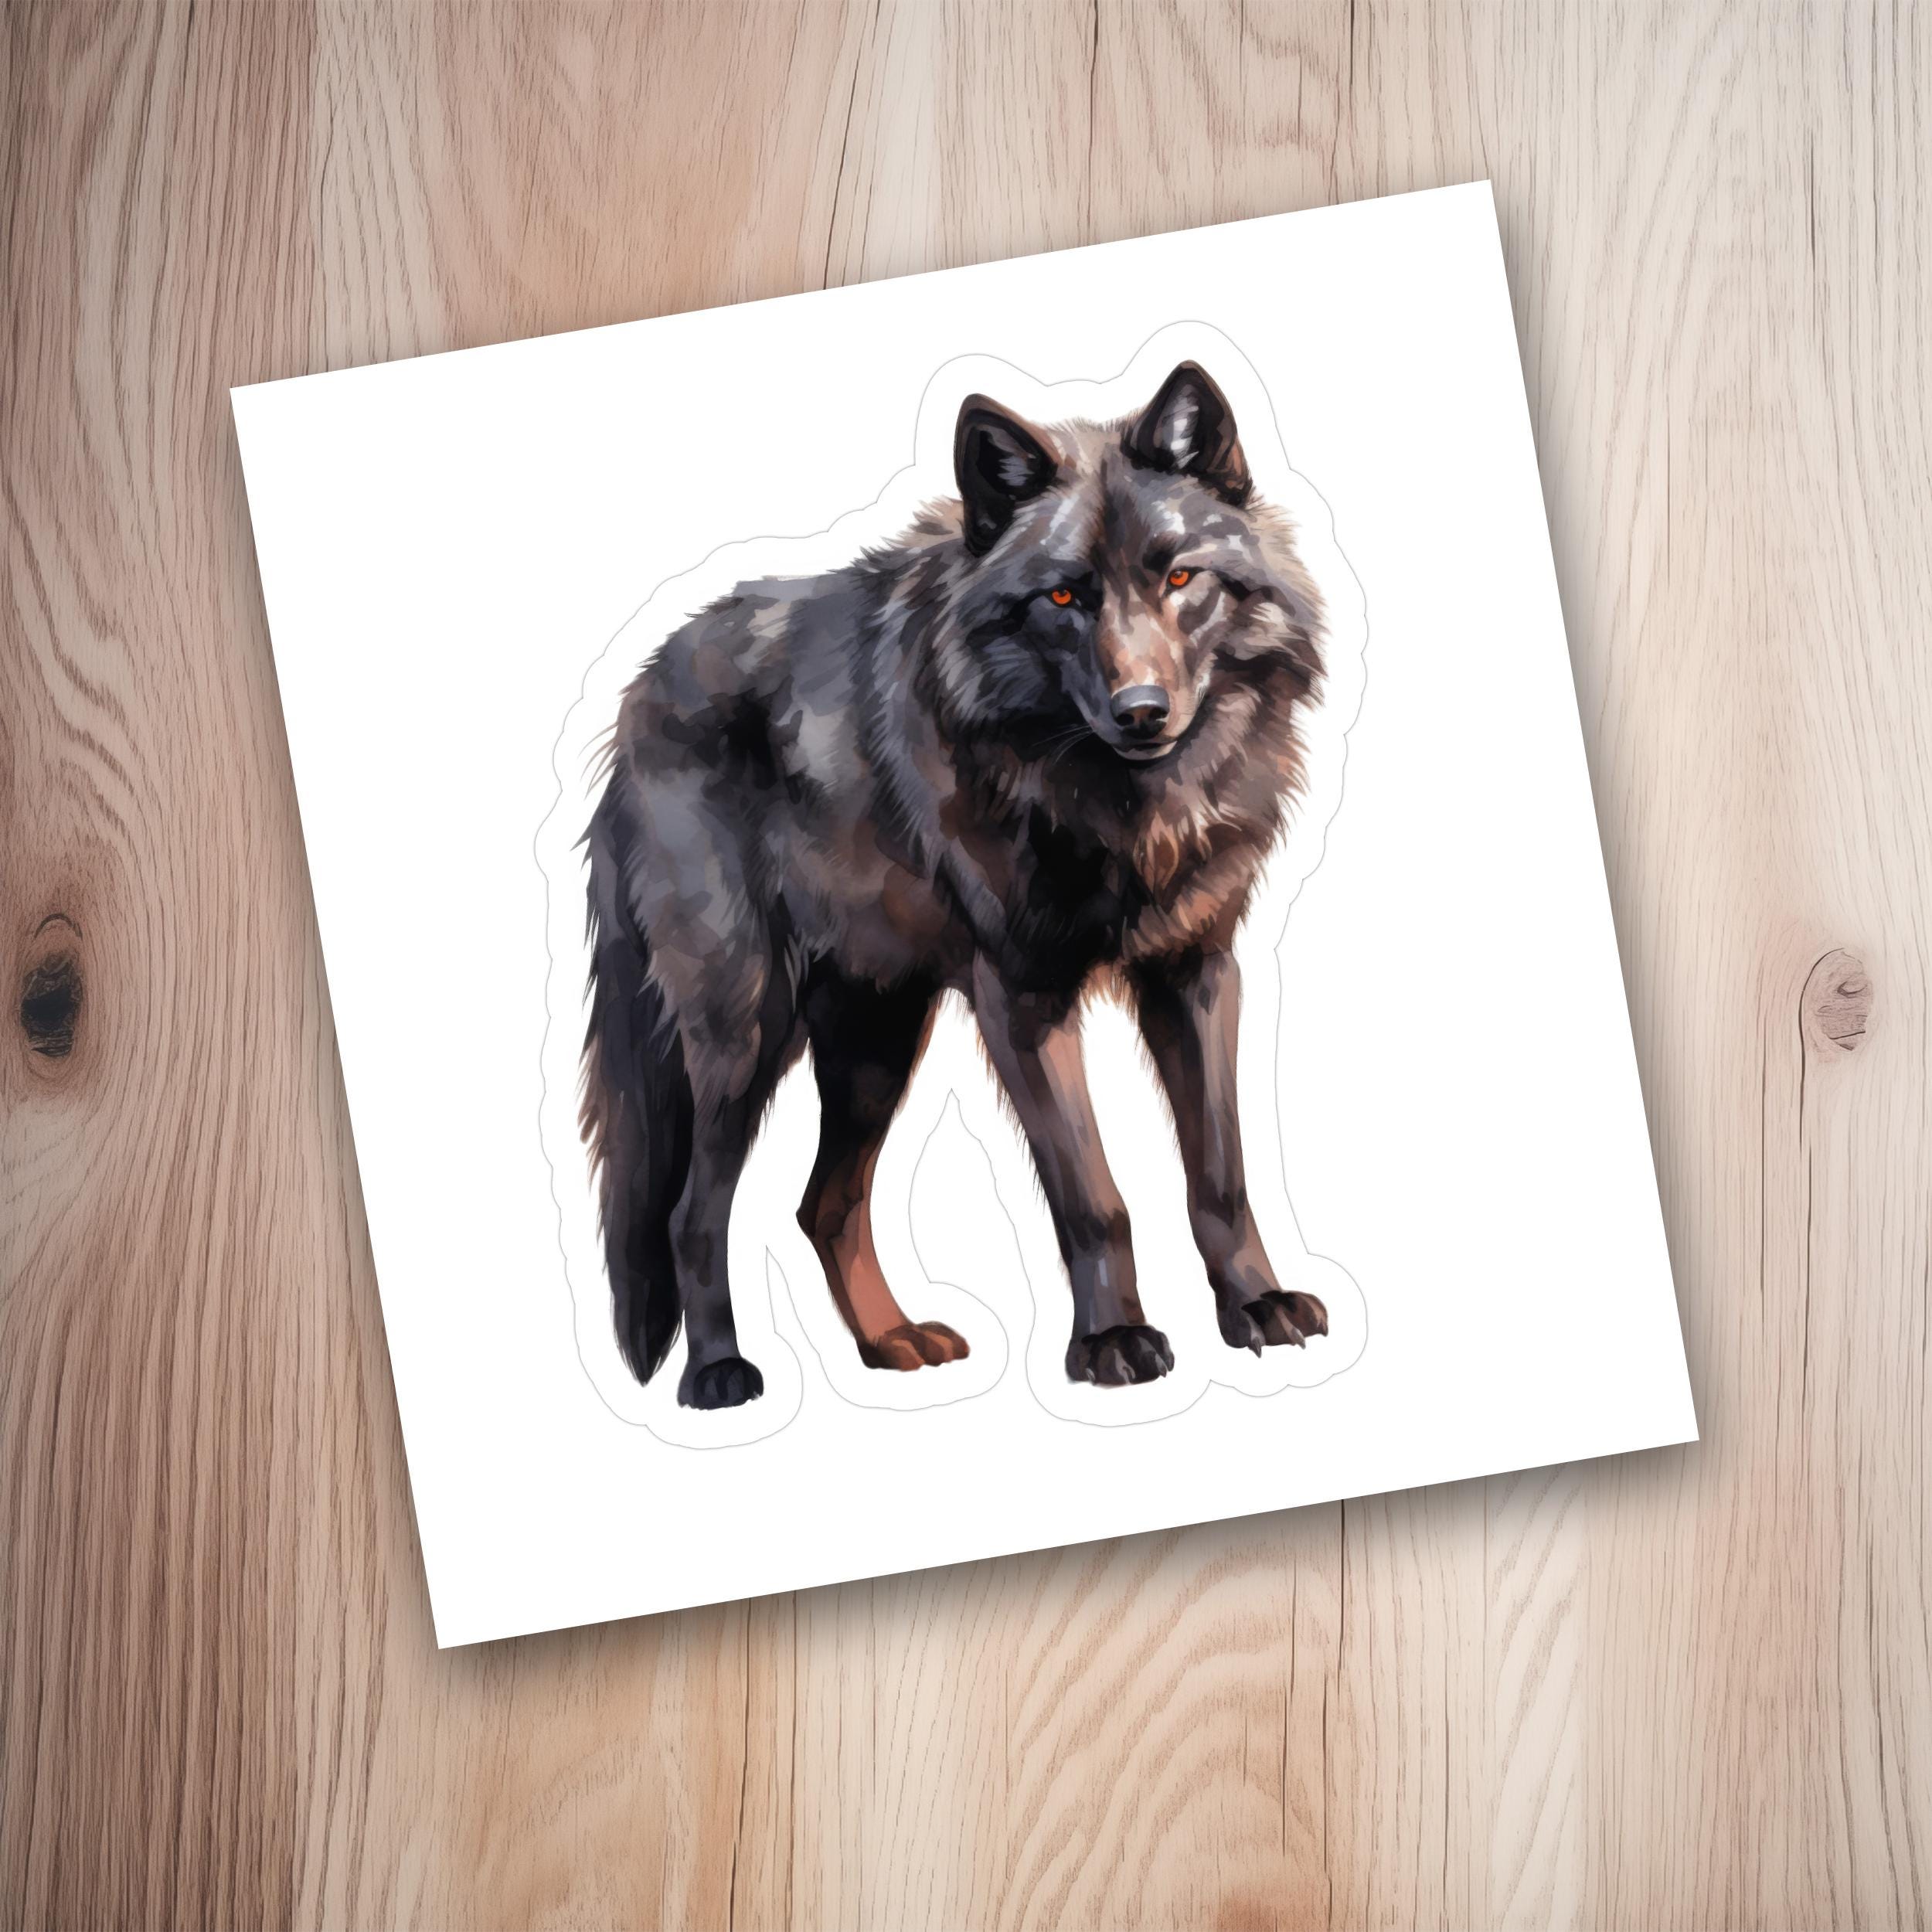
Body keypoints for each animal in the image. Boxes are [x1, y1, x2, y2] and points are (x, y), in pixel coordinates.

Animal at [582, 361, 1330, 1409]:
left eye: (1180, 578)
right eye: (1063, 596)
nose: (1142, 712)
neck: (1115, 807)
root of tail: (638, 690)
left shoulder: (1196, 972)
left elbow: (1218, 1170)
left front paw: (1255, 1306)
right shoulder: (1020, 997)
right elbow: (1092, 1195)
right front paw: (1114, 1341)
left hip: (876, 1039)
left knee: (824, 1203)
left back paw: (890, 1340)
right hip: (746, 1031)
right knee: (694, 1209)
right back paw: (720, 1373)